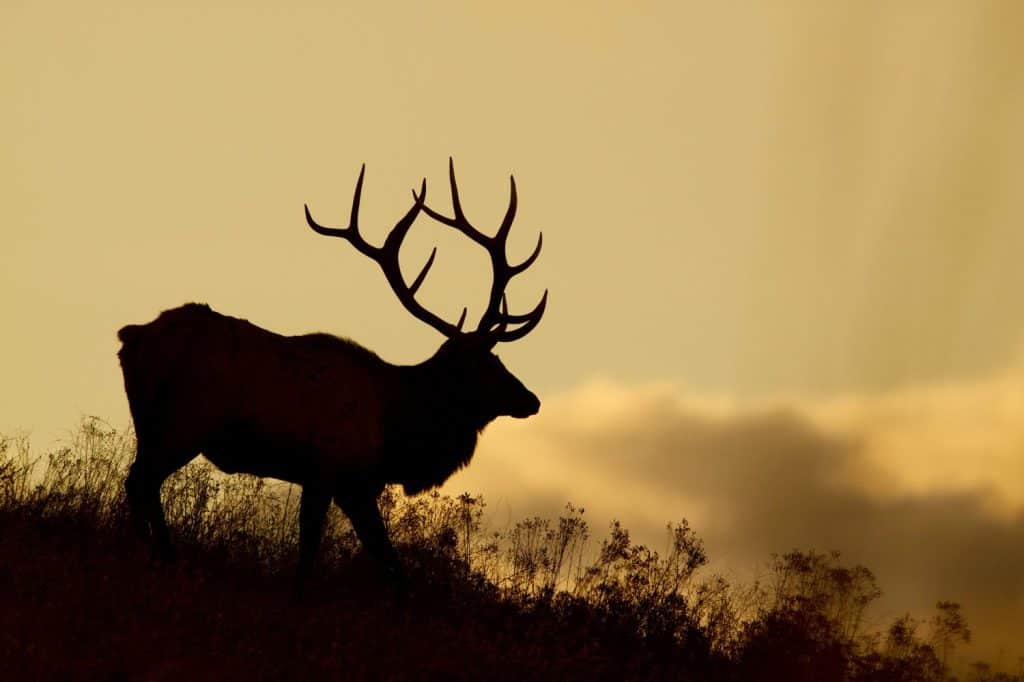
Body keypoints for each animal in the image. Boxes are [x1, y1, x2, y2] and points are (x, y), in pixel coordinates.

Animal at [117, 159, 546, 594]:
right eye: (486, 364)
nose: (531, 399)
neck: (396, 428)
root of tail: (132, 337)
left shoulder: (331, 480)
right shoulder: (338, 473)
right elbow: (359, 553)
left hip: (150, 424)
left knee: (139, 484)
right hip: (183, 423)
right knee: (140, 482)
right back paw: (163, 558)